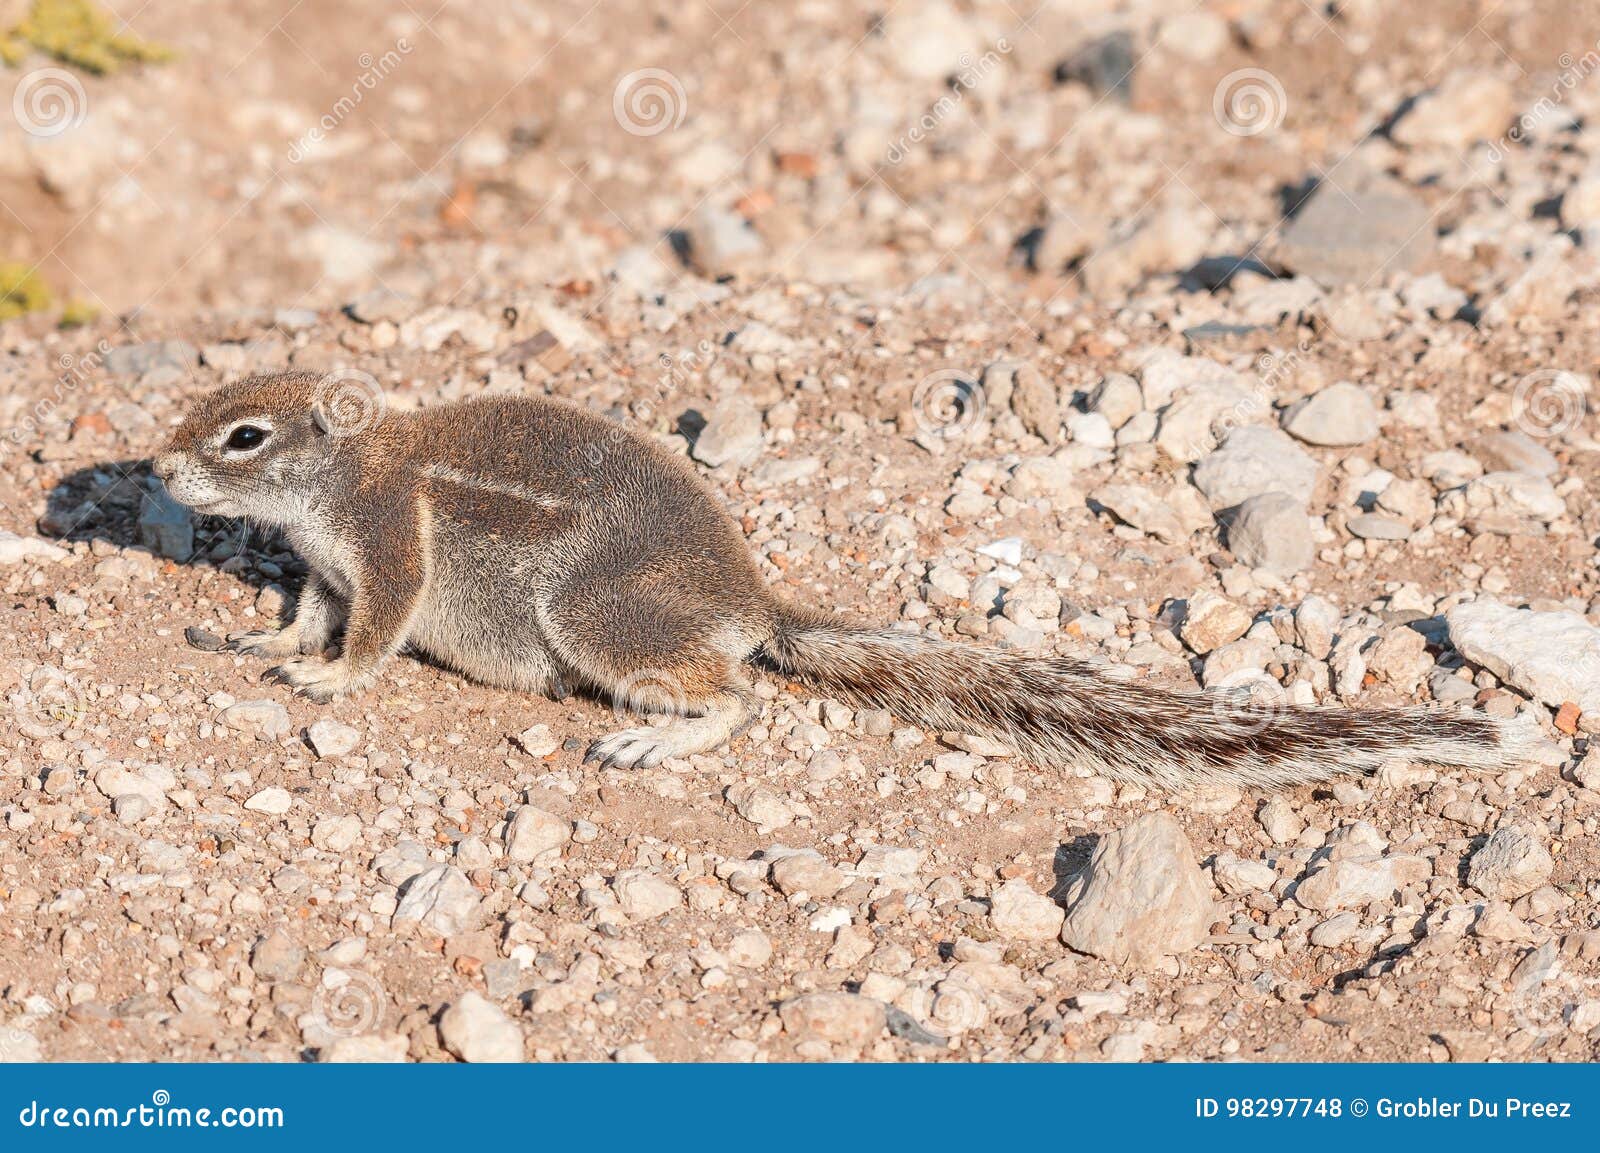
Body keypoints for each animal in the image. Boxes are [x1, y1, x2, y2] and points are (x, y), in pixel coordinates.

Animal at [153, 370, 1531, 787]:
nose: (157, 468)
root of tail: (751, 600)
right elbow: (311, 611)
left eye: (242, 436)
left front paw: (330, 687)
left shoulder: (387, 545)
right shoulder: (328, 568)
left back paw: (659, 738)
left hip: (589, 617)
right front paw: (271, 648)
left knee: (736, 696)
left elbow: (375, 630)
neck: (333, 489)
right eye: (206, 404)